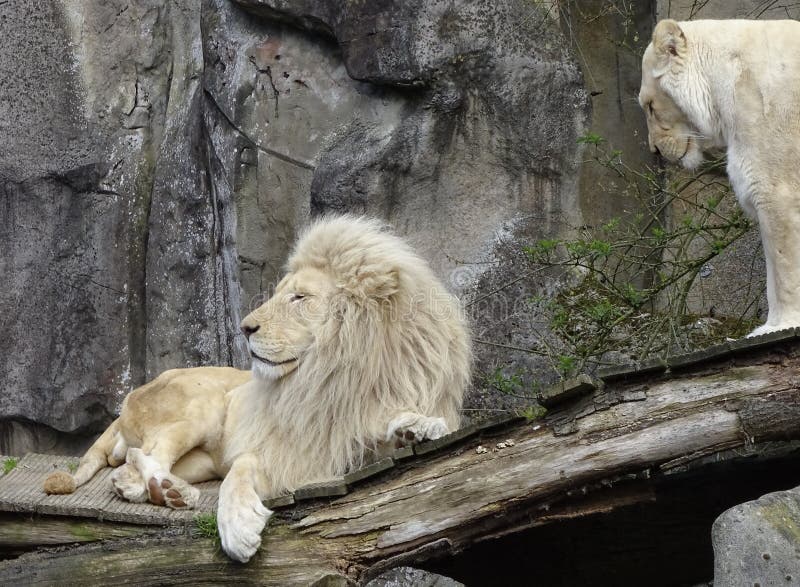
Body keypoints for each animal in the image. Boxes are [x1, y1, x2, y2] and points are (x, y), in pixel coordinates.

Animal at [44, 215, 471, 562]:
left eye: (299, 297)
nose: (245, 327)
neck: (334, 375)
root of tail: (127, 403)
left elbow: (394, 425)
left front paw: (418, 427)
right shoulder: (286, 449)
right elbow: (242, 469)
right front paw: (237, 528)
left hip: (200, 460)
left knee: (133, 465)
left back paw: (161, 490)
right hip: (201, 404)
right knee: (142, 455)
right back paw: (171, 492)